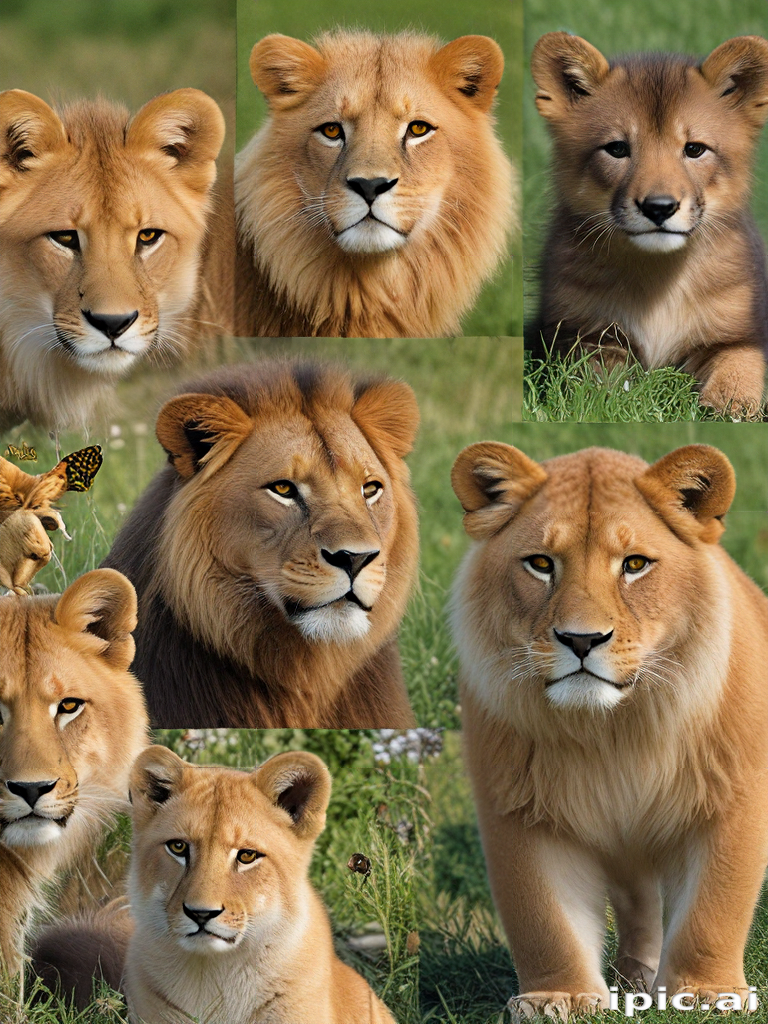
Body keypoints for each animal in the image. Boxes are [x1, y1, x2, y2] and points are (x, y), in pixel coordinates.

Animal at [450, 442, 768, 1019]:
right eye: (541, 563)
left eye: (635, 565)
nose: (582, 640)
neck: (612, 732)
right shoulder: (522, 812)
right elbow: (545, 919)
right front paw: (562, 999)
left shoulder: (732, 799)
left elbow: (715, 907)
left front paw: (703, 994)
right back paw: (633, 976)